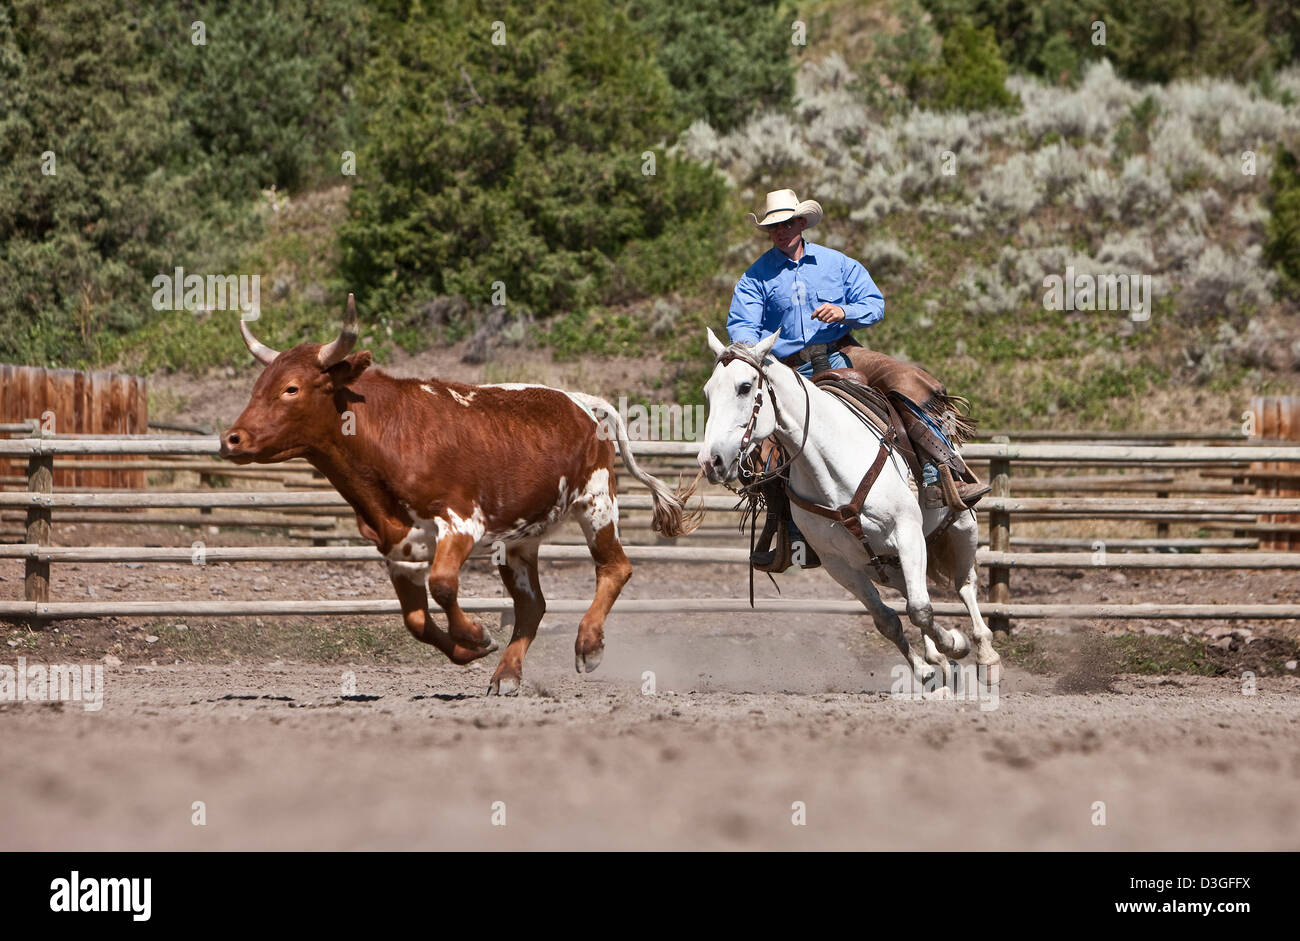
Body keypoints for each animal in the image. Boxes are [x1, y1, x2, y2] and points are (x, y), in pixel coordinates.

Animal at [220, 296, 699, 694]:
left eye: (291, 388)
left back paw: (588, 645)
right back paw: (507, 674)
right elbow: (415, 620)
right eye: (259, 385)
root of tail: (580, 401)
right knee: (532, 604)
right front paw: (469, 649)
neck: (386, 436)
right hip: (519, 540)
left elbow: (444, 585)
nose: (232, 439)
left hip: (596, 505)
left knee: (614, 568)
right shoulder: (397, 548)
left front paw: (475, 634)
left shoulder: (461, 523)